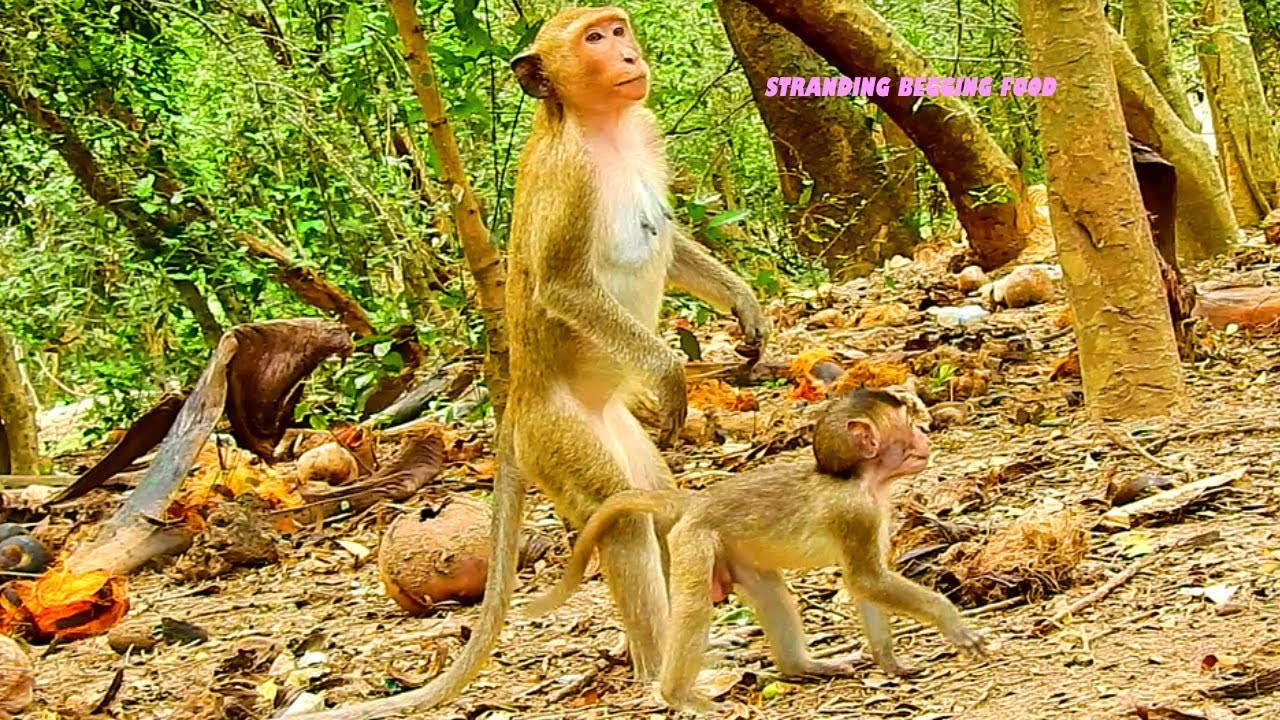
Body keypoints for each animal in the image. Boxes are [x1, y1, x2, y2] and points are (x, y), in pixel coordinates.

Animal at [291, 7, 768, 719]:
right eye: (593, 39)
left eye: (616, 28)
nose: (627, 55)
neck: (597, 128)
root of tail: (514, 404)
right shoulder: (571, 179)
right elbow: (563, 287)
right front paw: (667, 372)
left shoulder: (646, 129)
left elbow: (676, 243)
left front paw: (744, 304)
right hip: (557, 441)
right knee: (621, 519)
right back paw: (661, 675)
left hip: (610, 434)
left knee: (655, 502)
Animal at [529, 387, 987, 714]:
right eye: (907, 424)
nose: (925, 435)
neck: (859, 479)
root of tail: (695, 501)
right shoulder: (856, 512)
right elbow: (866, 578)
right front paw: (952, 622)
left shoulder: (877, 510)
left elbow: (866, 584)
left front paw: (890, 662)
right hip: (694, 540)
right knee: (694, 608)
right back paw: (678, 695)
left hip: (735, 555)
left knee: (769, 590)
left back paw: (802, 666)